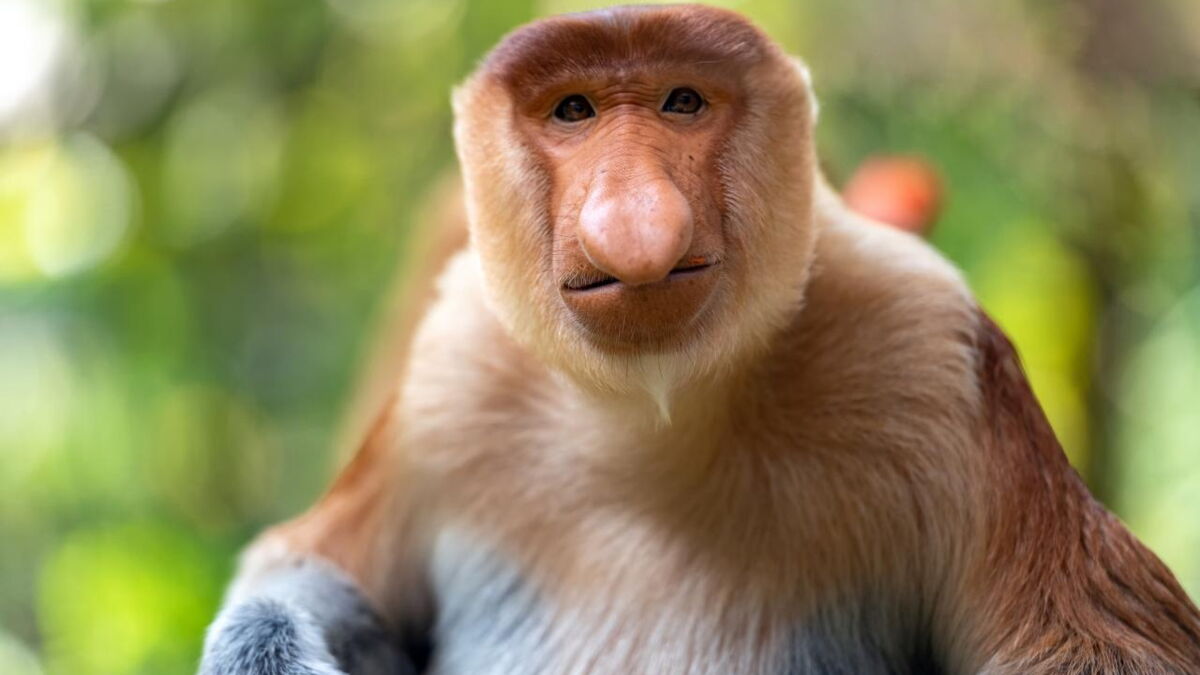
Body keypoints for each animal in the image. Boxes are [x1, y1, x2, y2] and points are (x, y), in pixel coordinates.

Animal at [198, 5, 1200, 674]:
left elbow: (1093, 640)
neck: (656, 423)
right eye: (572, 111)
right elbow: (306, 561)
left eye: (683, 101)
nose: (636, 224)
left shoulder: (930, 349)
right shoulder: (452, 374)